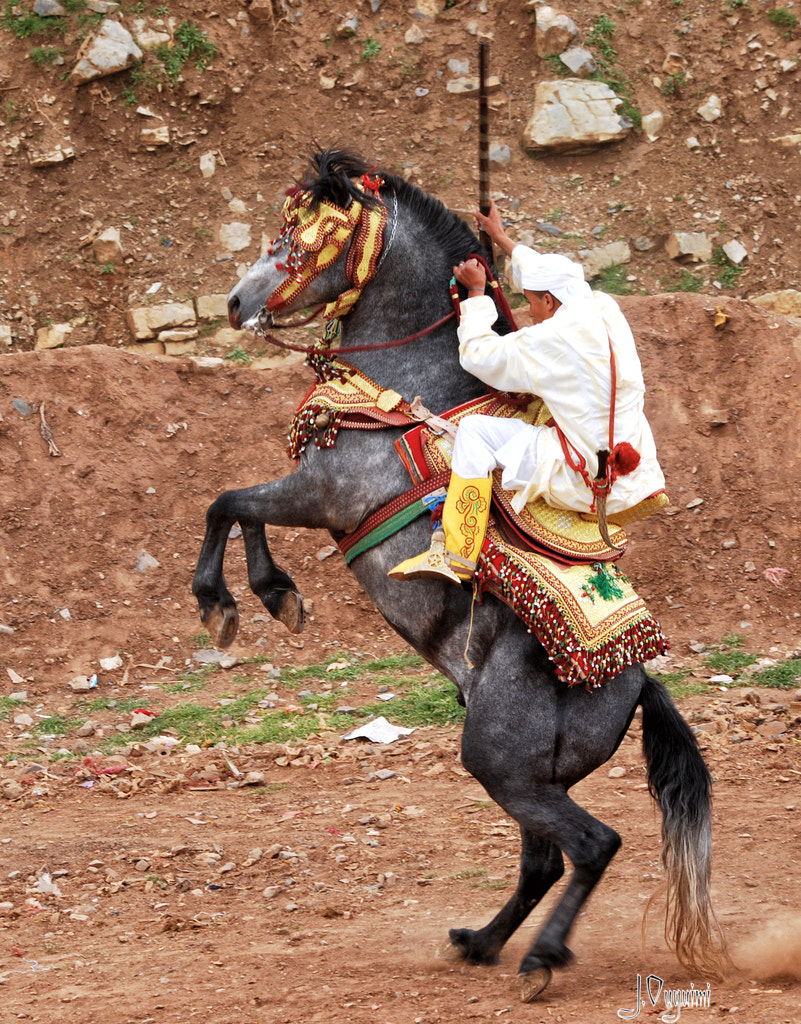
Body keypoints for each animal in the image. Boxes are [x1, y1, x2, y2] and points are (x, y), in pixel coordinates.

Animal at [193, 149, 725, 1001]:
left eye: (309, 235)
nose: (239, 301)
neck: (412, 391)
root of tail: (636, 682)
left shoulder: (322, 494)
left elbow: (227, 501)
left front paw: (230, 602)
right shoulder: (311, 496)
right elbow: (238, 508)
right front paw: (276, 596)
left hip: (501, 761)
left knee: (591, 845)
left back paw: (540, 958)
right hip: (521, 773)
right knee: (545, 858)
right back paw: (482, 941)